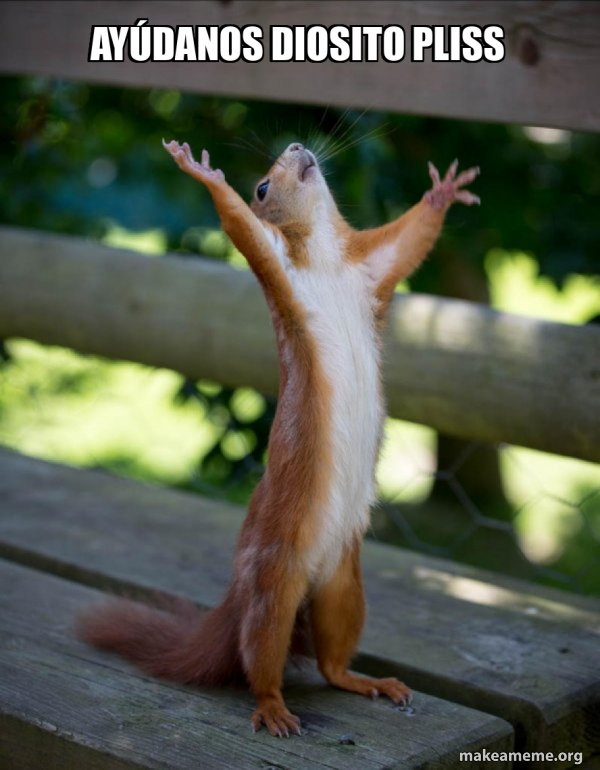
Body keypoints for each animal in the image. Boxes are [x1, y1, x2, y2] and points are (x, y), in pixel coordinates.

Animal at [77, 138, 479, 738]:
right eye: (262, 186)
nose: (296, 146)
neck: (327, 257)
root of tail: (239, 595)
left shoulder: (372, 267)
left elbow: (409, 240)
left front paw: (443, 192)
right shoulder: (277, 266)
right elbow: (240, 226)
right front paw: (204, 174)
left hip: (344, 586)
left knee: (332, 661)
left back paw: (368, 681)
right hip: (273, 585)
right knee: (260, 658)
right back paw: (273, 708)